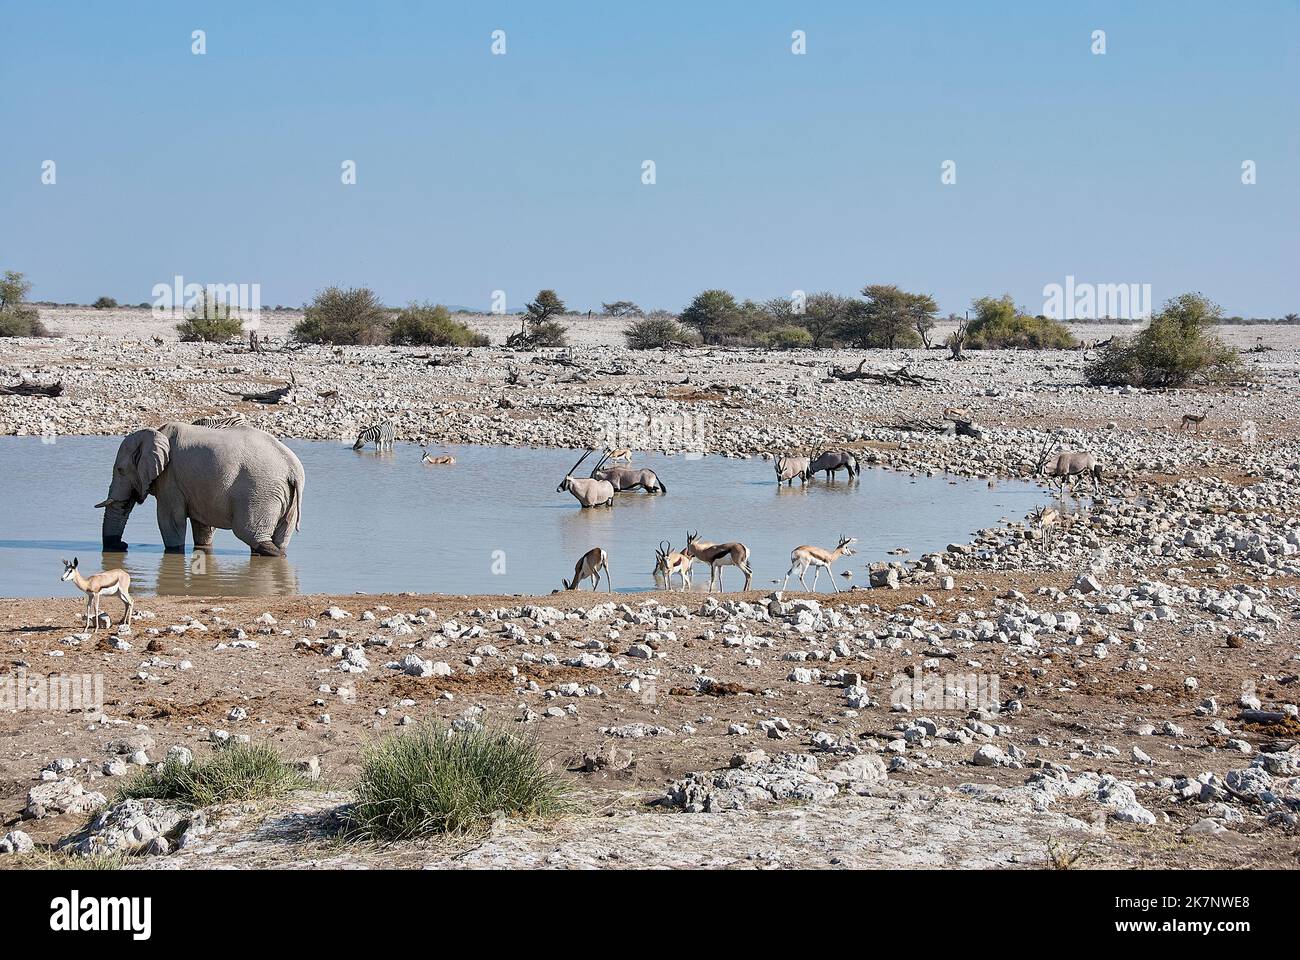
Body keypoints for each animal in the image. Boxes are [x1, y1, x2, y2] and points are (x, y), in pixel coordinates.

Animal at [96, 423, 305, 557]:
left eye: (120, 470)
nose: (122, 545)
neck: (156, 432)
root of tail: (292, 467)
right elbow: (202, 525)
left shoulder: (171, 477)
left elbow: (170, 520)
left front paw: (174, 552)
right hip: (285, 494)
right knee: (280, 538)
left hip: (260, 491)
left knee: (250, 534)